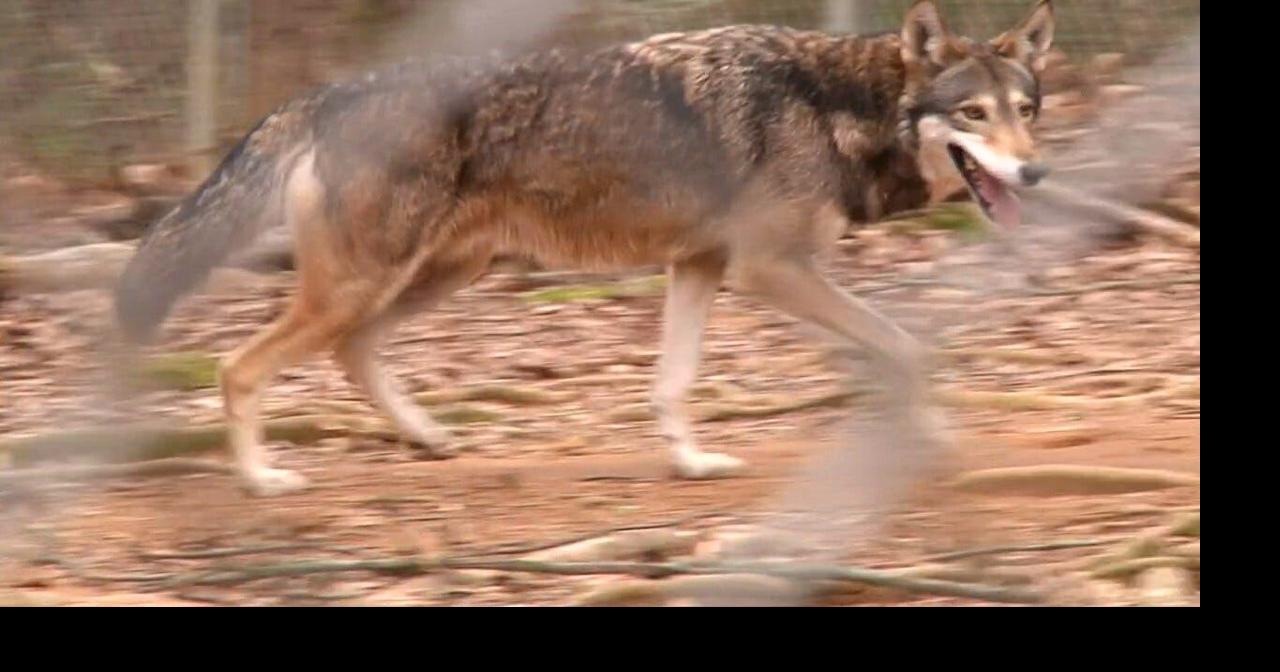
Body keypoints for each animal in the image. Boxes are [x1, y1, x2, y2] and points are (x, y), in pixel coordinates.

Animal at [114, 1, 1056, 496]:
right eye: (973, 115)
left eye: (1025, 110)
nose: (1037, 171)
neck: (833, 104)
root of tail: (327, 93)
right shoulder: (770, 269)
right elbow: (903, 344)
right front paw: (933, 437)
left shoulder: (701, 266)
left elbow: (672, 383)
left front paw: (689, 460)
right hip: (365, 284)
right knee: (241, 367)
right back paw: (263, 480)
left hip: (432, 278)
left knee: (355, 353)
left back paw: (429, 439)